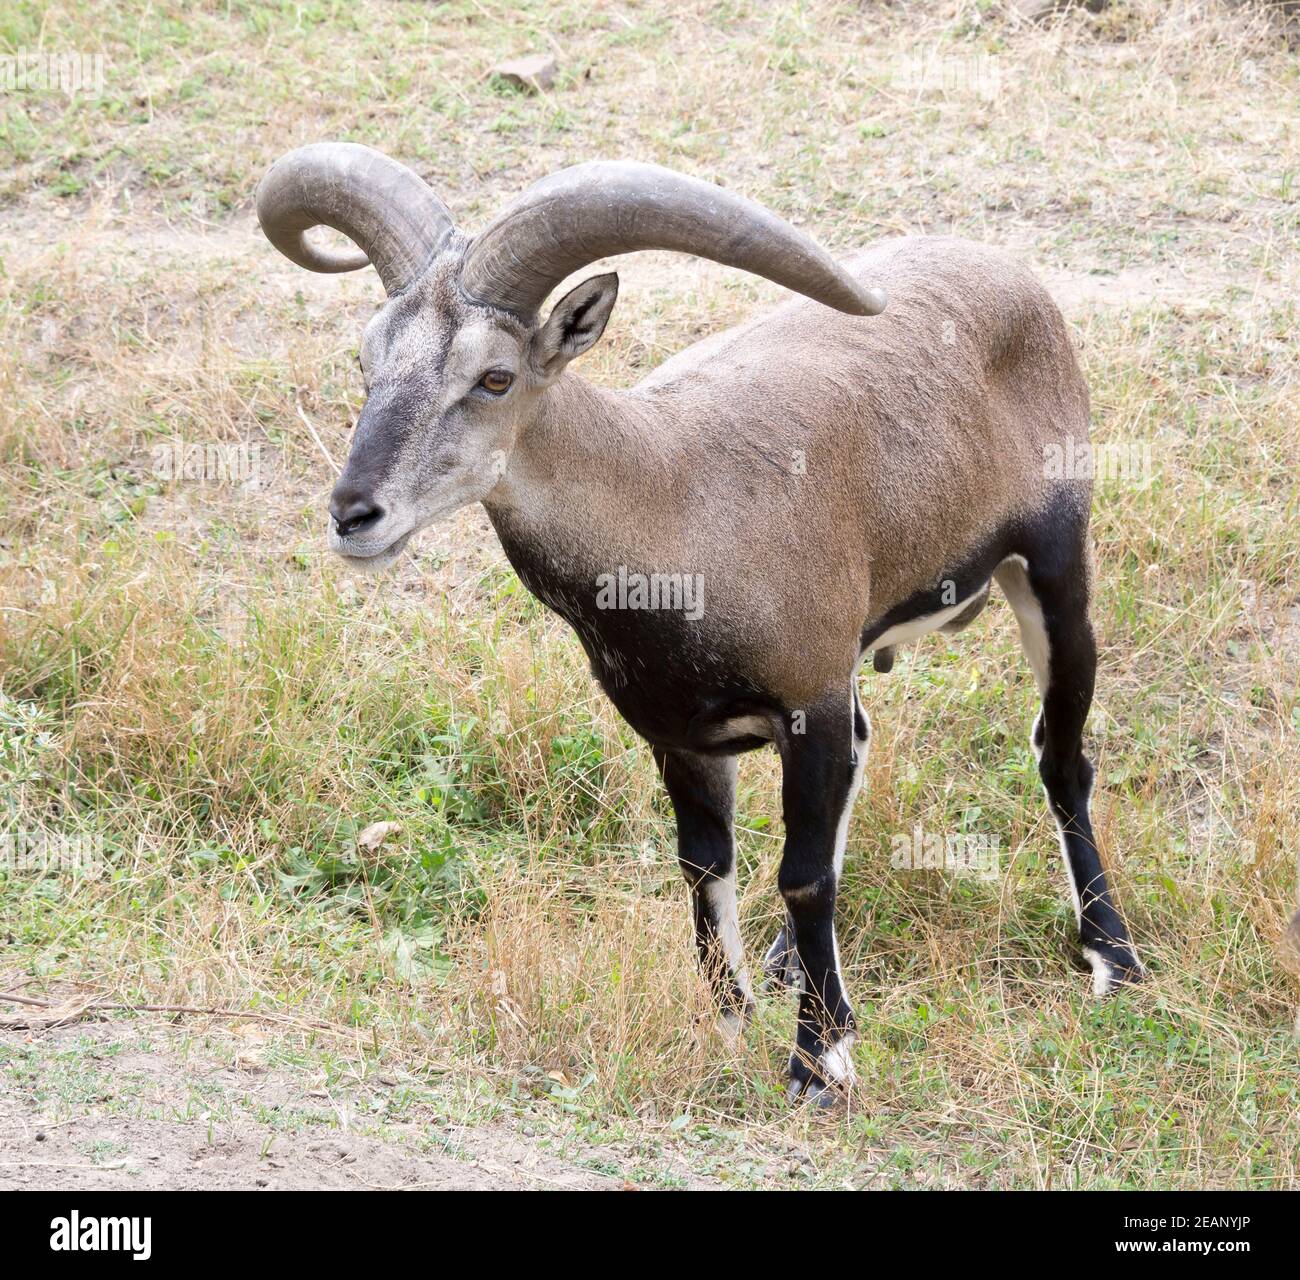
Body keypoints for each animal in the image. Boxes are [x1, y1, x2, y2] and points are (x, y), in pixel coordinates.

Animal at [257, 143, 1143, 1103]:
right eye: (366, 361)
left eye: (495, 376)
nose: (354, 514)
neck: (673, 504)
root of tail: (1013, 277)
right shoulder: (680, 734)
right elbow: (704, 867)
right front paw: (730, 1024)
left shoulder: (809, 694)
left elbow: (801, 875)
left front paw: (819, 1062)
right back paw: (794, 963)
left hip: (1054, 563)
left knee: (1061, 755)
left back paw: (1113, 955)